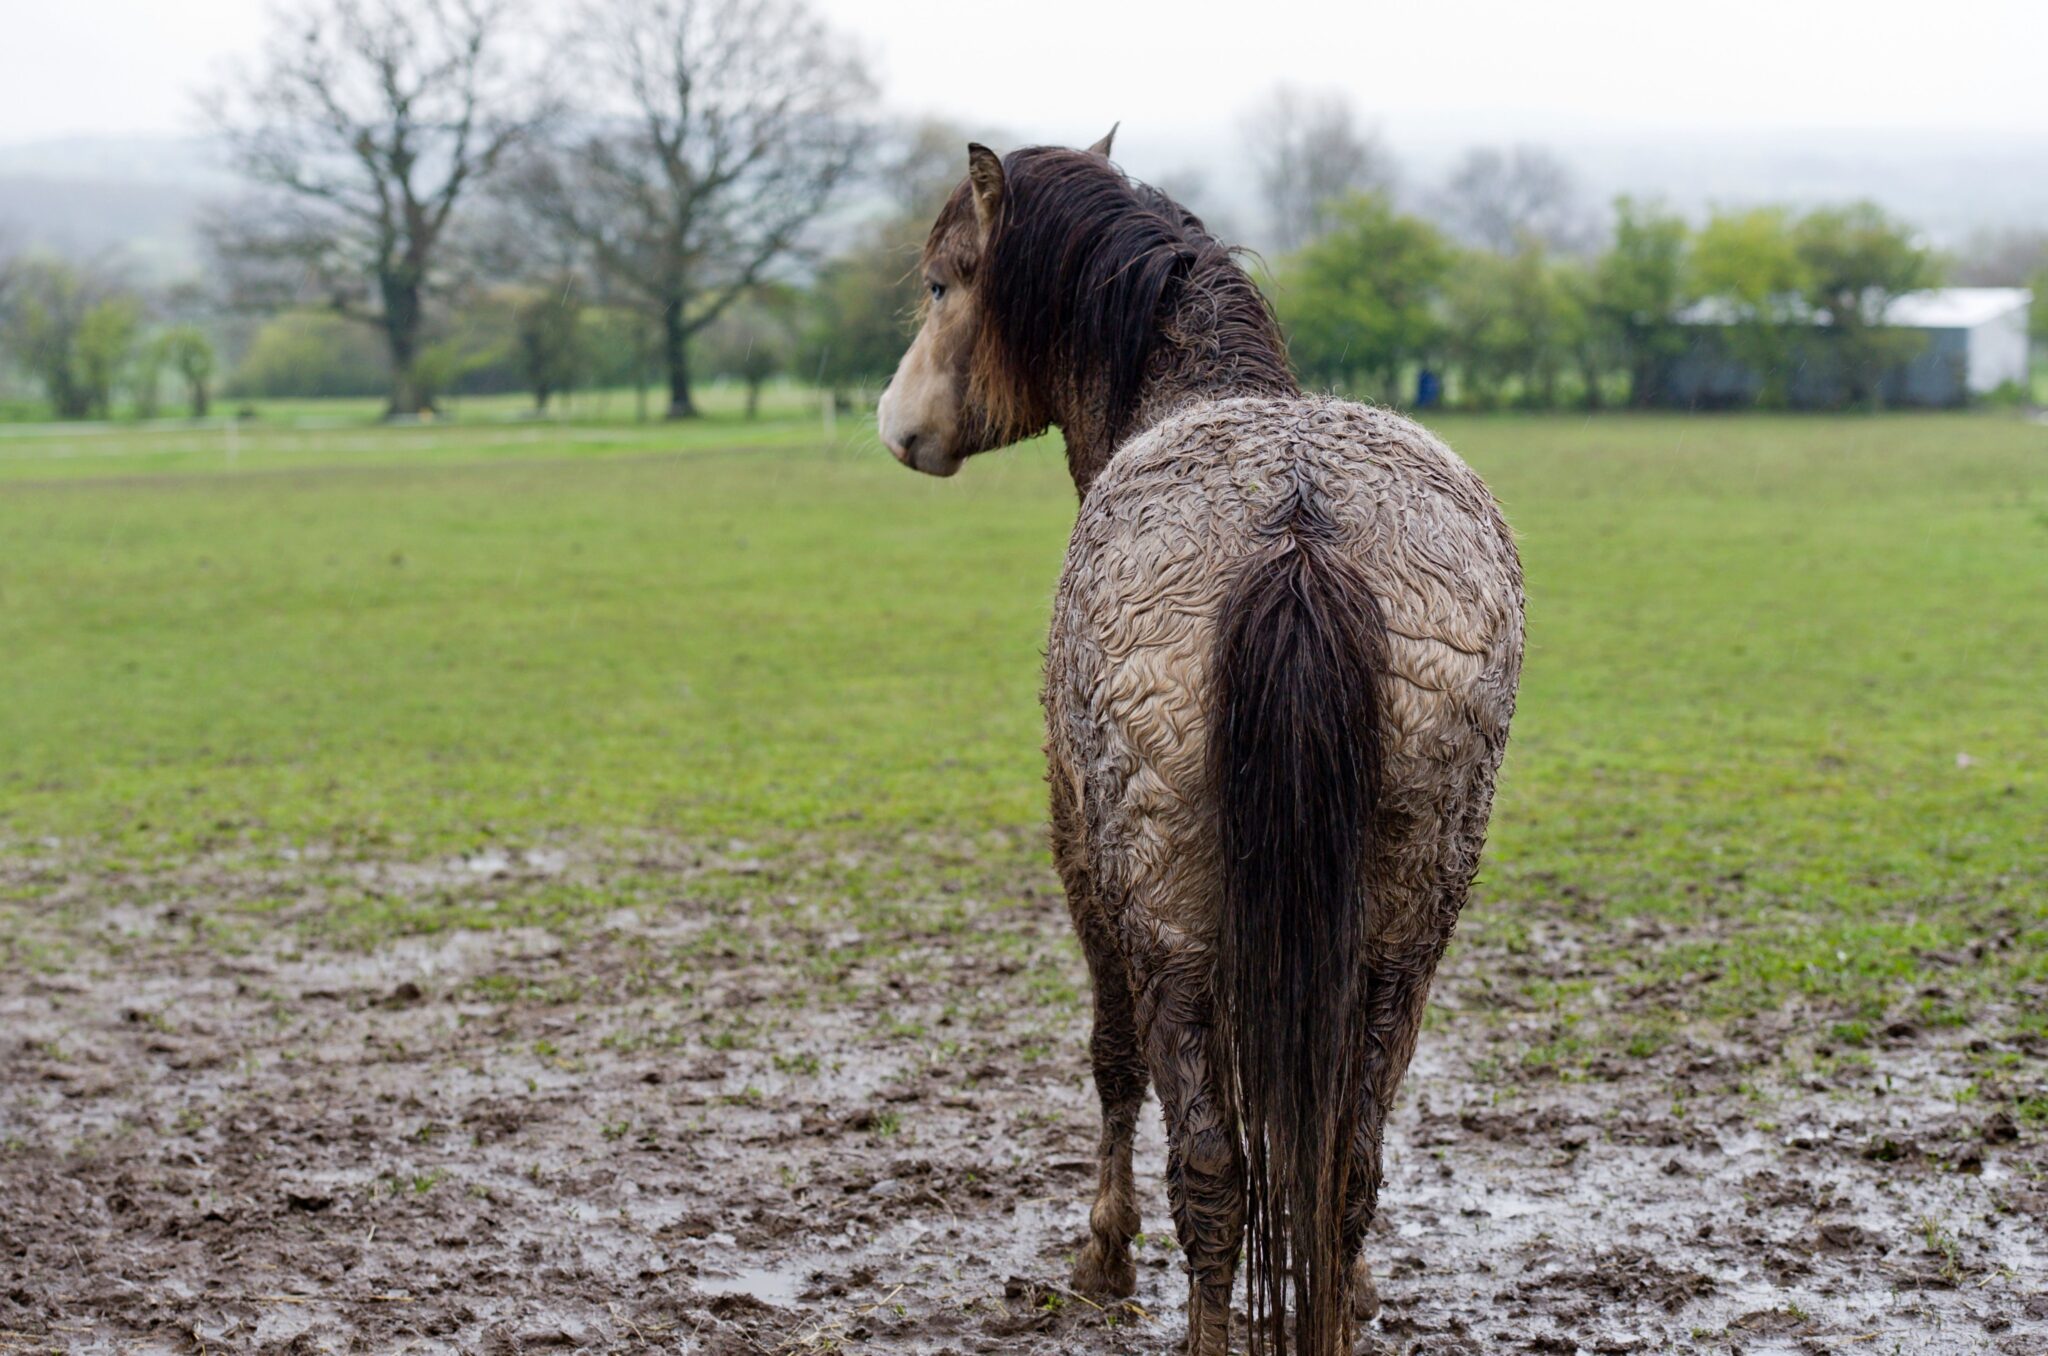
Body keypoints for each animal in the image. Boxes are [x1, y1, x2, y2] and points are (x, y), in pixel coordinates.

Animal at [876, 130, 1525, 1356]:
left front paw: (1102, 1249)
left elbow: (1112, 1059)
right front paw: (1356, 1288)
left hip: (1167, 914)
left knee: (1214, 1166)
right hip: (1404, 931)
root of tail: (1299, 531)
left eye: (941, 283)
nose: (896, 423)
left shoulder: (1082, 853)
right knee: (1346, 1162)